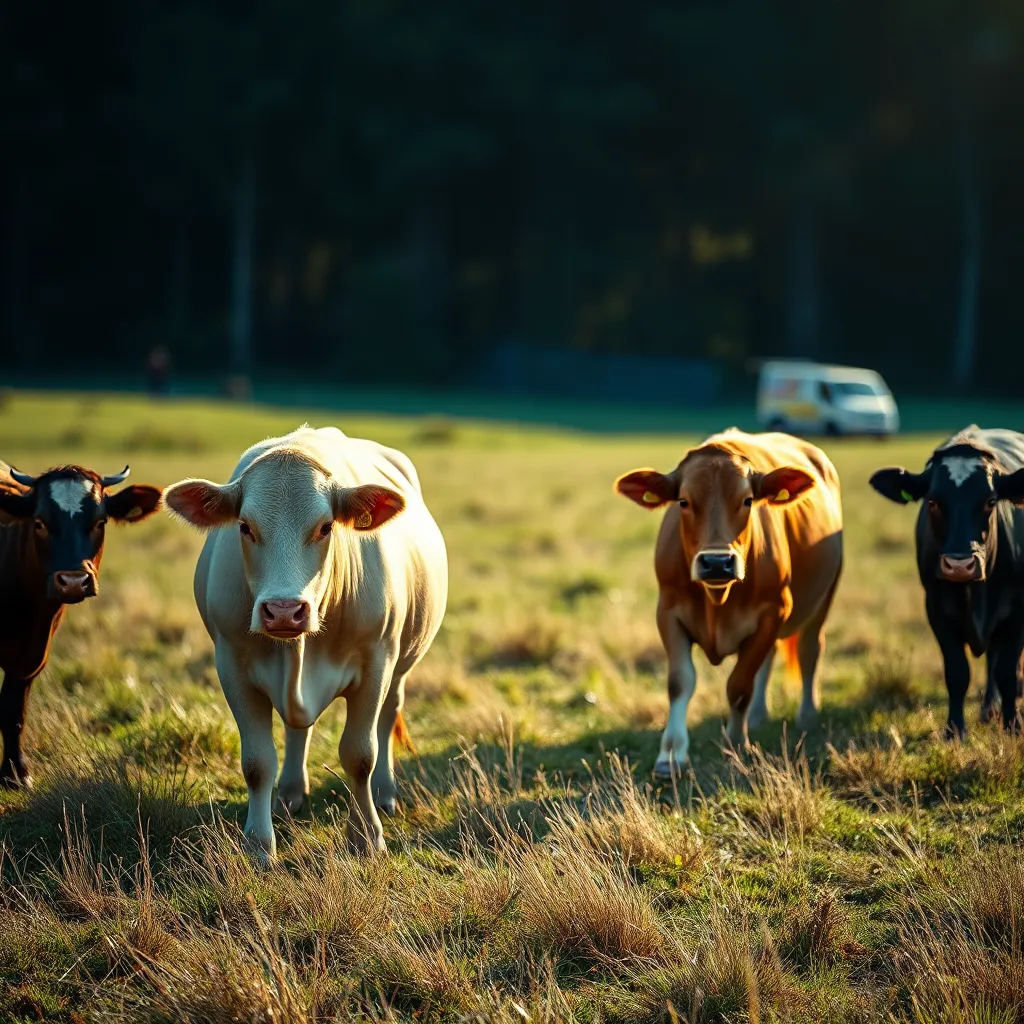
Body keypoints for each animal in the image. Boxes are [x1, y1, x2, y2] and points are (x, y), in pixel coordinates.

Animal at [0, 462, 162, 788]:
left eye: (100, 521)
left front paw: (15, 774)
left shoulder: (30, 657)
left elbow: (12, 712)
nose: (74, 581)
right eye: (39, 522)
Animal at [163, 426, 447, 861]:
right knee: (298, 729)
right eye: (244, 526)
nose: (283, 610)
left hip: (401, 663)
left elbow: (360, 754)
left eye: (326, 526)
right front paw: (259, 845)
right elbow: (257, 762)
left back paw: (384, 793)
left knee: (388, 716)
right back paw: (290, 793)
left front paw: (366, 837)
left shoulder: (377, 660)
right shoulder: (232, 663)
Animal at [614, 429, 843, 776]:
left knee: (809, 650)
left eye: (748, 500)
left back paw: (806, 715)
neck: (716, 601)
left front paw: (736, 745)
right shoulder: (667, 612)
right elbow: (680, 682)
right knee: (771, 658)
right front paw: (671, 755)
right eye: (683, 501)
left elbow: (739, 686)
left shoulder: (774, 612)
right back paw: (759, 715)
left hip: (825, 595)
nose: (717, 563)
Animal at [870, 426, 1024, 737]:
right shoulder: (937, 611)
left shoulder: (1016, 611)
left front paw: (1013, 727)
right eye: (932, 501)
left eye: (990, 501)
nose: (959, 565)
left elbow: (1007, 673)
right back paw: (988, 711)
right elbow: (957, 672)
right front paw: (954, 730)